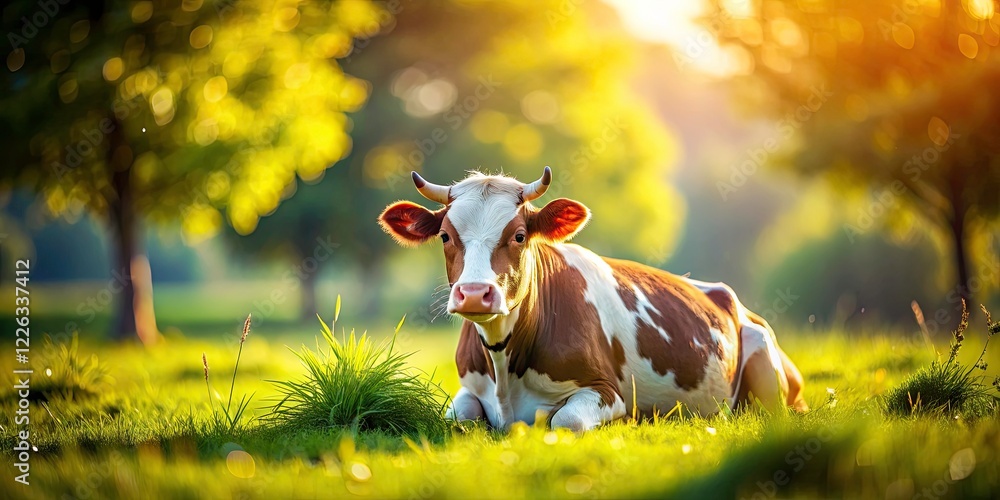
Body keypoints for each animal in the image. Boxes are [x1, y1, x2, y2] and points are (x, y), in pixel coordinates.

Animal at [378, 167, 808, 432]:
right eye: (445, 236)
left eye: (519, 235)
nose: (473, 294)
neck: (505, 372)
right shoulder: (469, 389)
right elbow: (461, 417)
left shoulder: (609, 392)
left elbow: (564, 420)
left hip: (767, 370)